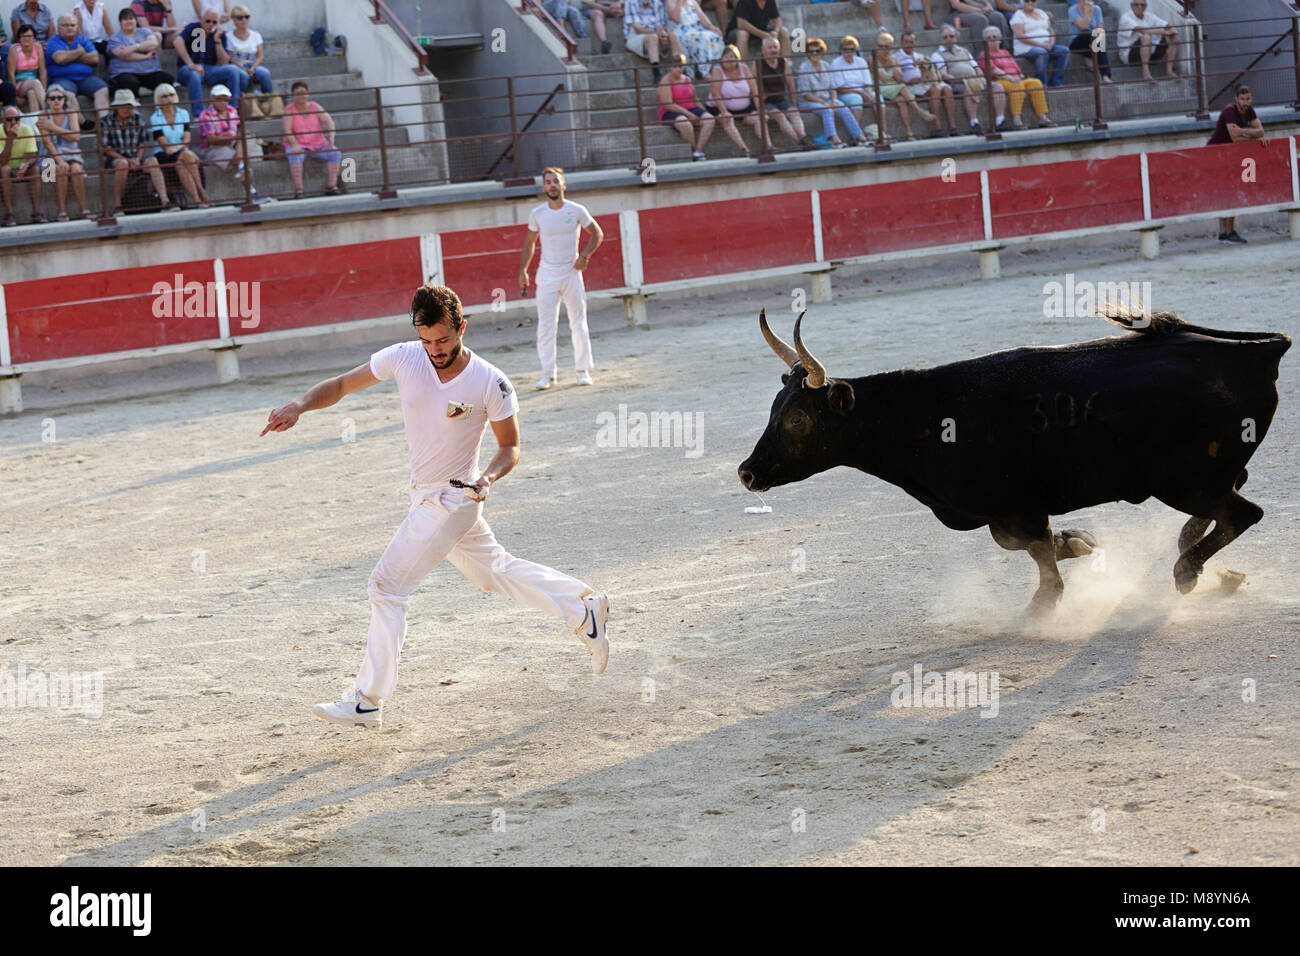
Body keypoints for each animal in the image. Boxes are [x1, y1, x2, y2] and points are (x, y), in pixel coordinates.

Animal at [738, 307, 1290, 611]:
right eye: (774, 408)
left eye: (797, 420)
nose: (747, 472)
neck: (921, 415)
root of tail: (1262, 351)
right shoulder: (1006, 511)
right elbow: (1032, 544)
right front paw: (1078, 543)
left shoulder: (1017, 506)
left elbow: (1035, 548)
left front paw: (1045, 602)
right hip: (1201, 477)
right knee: (1229, 500)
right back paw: (1212, 567)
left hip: (1183, 480)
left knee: (1242, 512)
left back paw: (1186, 572)